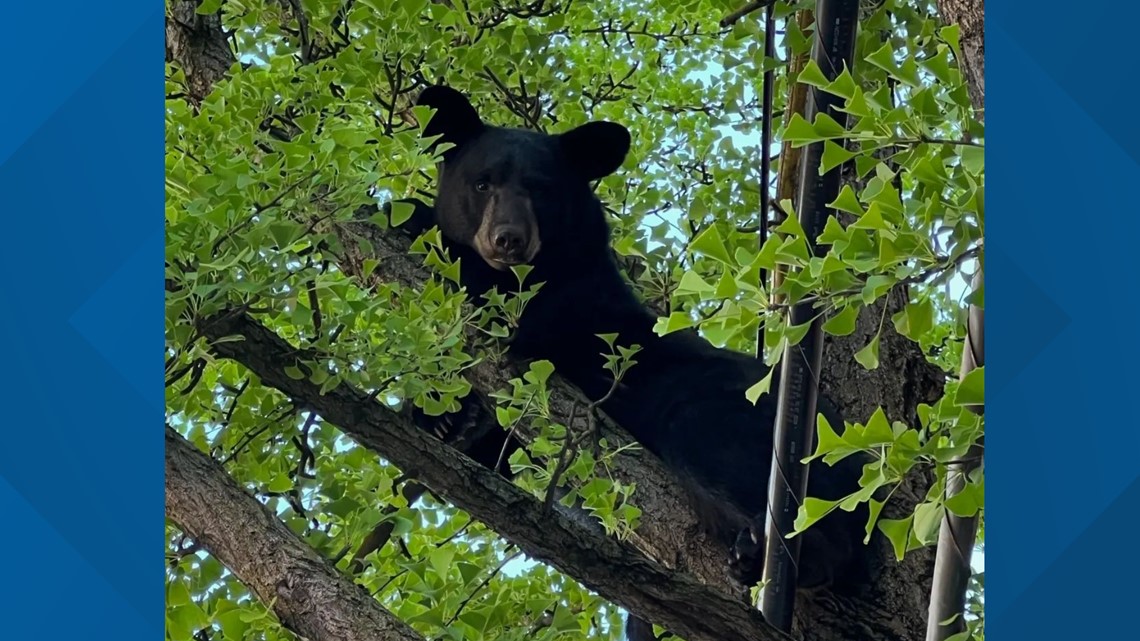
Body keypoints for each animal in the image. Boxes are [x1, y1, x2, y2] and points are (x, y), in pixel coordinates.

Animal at [396, 85, 872, 640]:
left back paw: (775, 551)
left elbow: (524, 321)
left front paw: (412, 218)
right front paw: (445, 417)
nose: (508, 239)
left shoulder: (582, 306)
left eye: (542, 188)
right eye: (481, 182)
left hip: (738, 412)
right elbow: (496, 447)